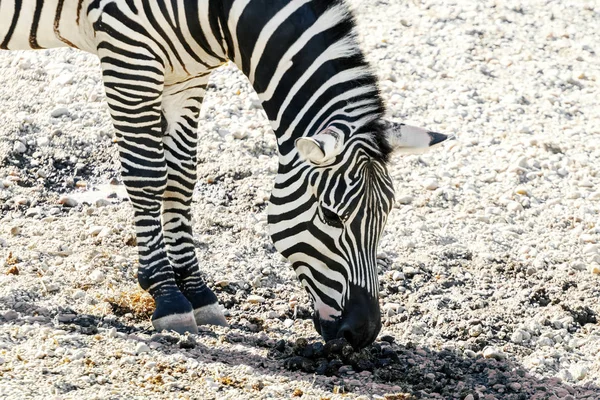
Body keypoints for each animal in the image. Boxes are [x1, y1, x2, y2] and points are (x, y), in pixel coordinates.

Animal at [0, 0, 450, 348]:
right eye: (332, 217)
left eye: (386, 215)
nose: (363, 333)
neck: (220, 14)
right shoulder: (129, 52)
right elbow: (148, 174)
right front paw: (167, 296)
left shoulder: (187, 74)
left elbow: (181, 177)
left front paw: (197, 292)